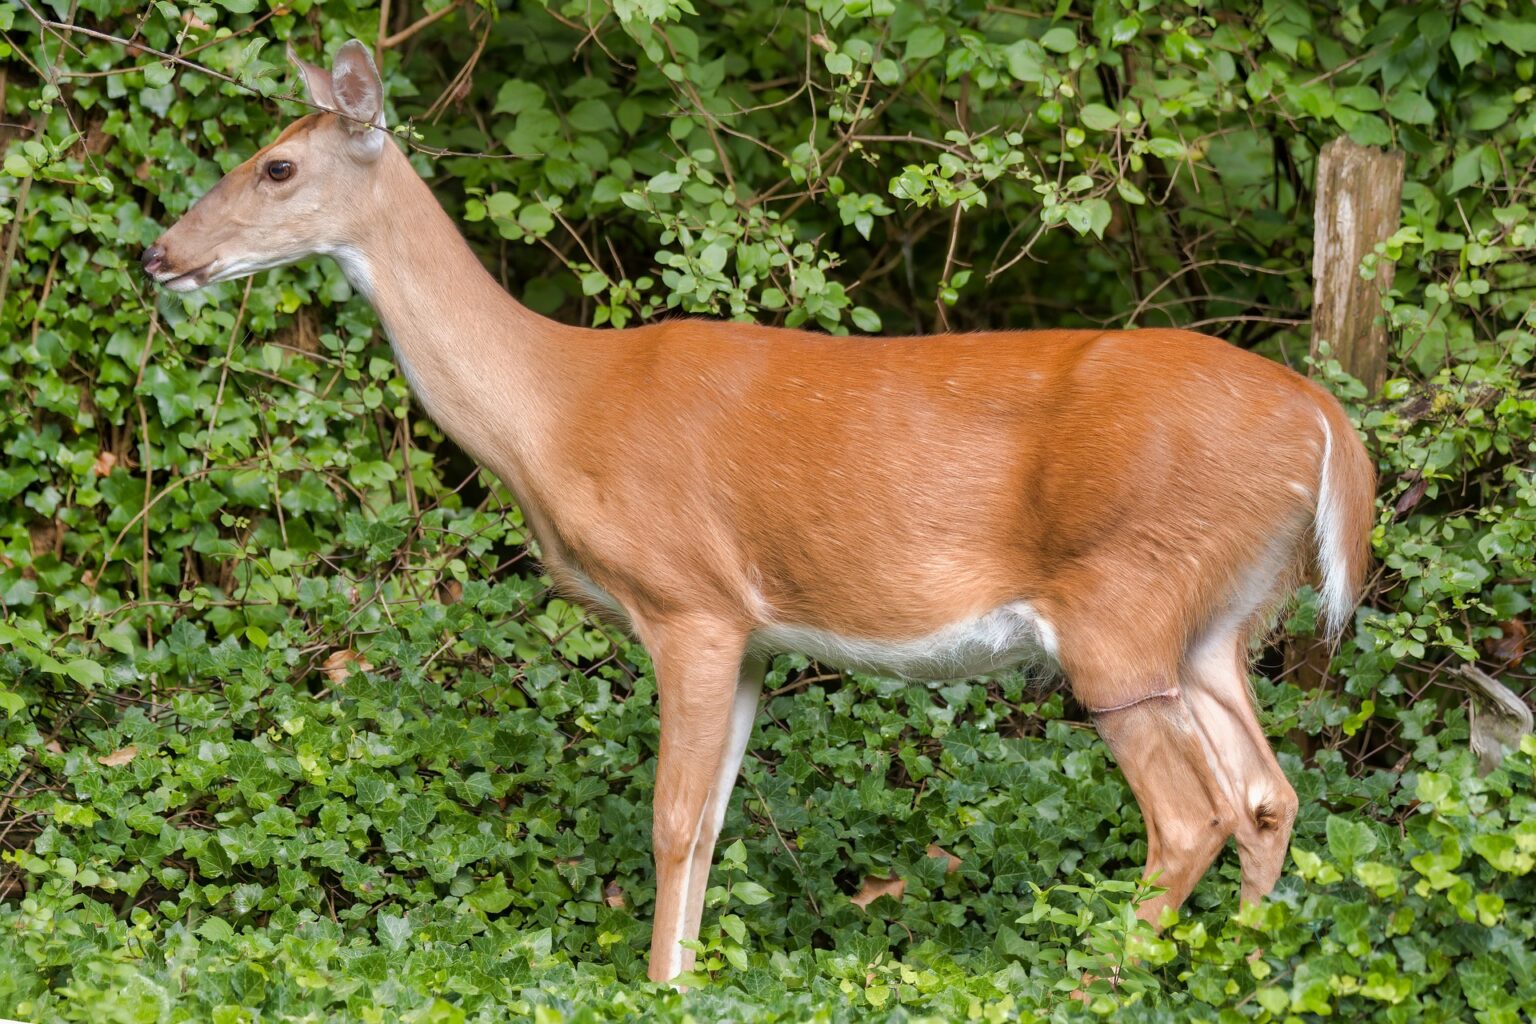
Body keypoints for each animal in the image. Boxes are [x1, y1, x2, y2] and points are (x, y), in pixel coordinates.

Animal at [141, 39, 1376, 983]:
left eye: (278, 166)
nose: (161, 255)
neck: (557, 410)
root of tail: (1327, 424)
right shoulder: (750, 638)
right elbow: (710, 825)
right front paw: (685, 978)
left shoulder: (688, 602)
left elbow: (669, 820)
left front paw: (656, 984)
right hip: (1215, 616)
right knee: (1267, 796)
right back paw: (1241, 971)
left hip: (1120, 599)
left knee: (1191, 812)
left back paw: (1094, 981)